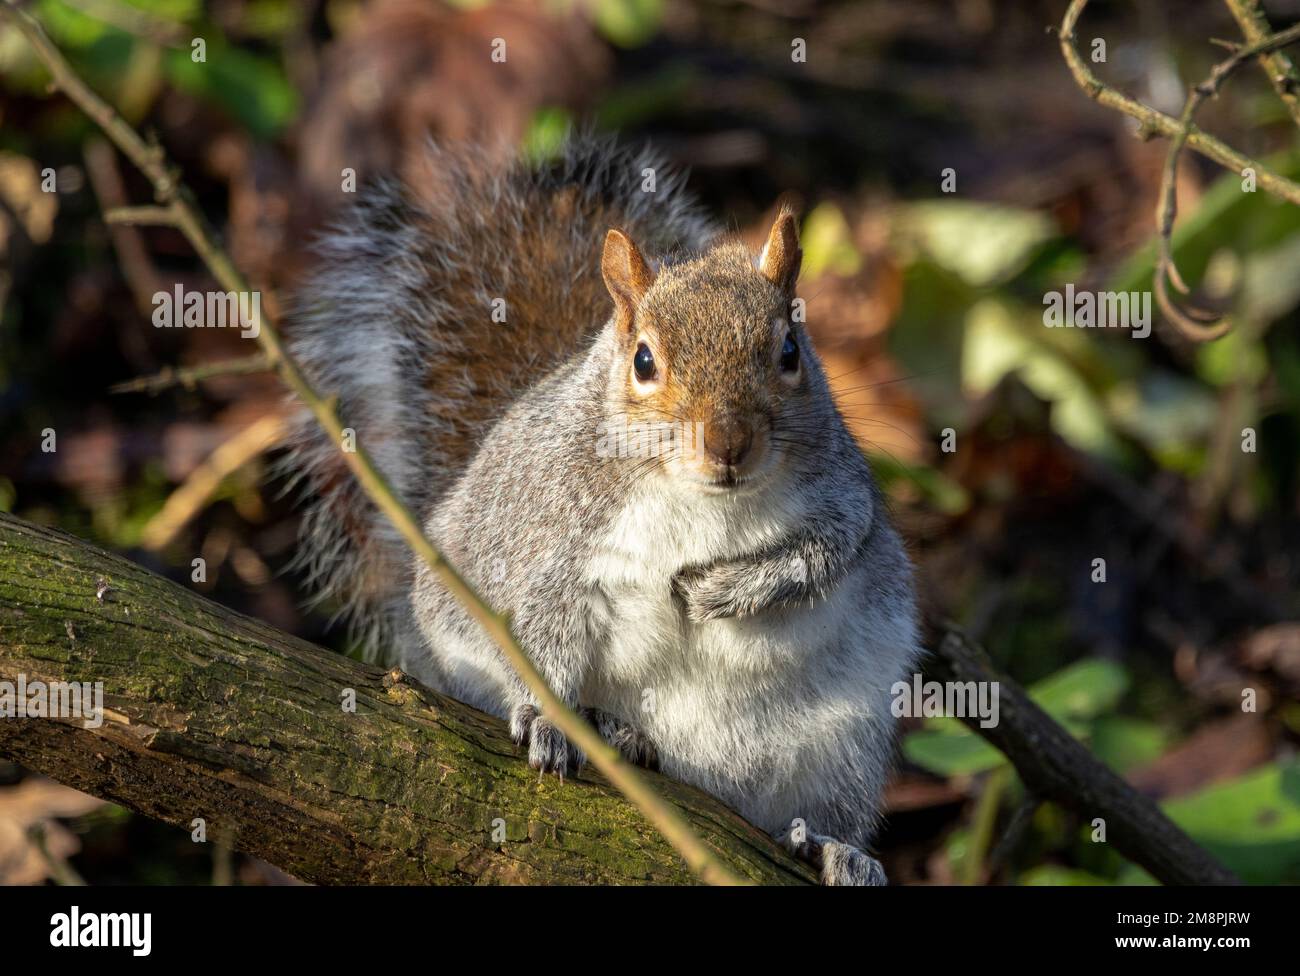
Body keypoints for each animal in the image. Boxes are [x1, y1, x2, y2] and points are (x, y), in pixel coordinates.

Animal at [284, 135, 922, 885]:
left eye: (790, 351)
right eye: (643, 361)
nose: (728, 445)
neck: (708, 501)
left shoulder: (842, 494)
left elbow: (826, 553)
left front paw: (726, 590)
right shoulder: (553, 542)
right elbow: (537, 633)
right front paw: (550, 720)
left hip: (844, 743)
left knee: (825, 807)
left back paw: (830, 845)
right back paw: (615, 728)